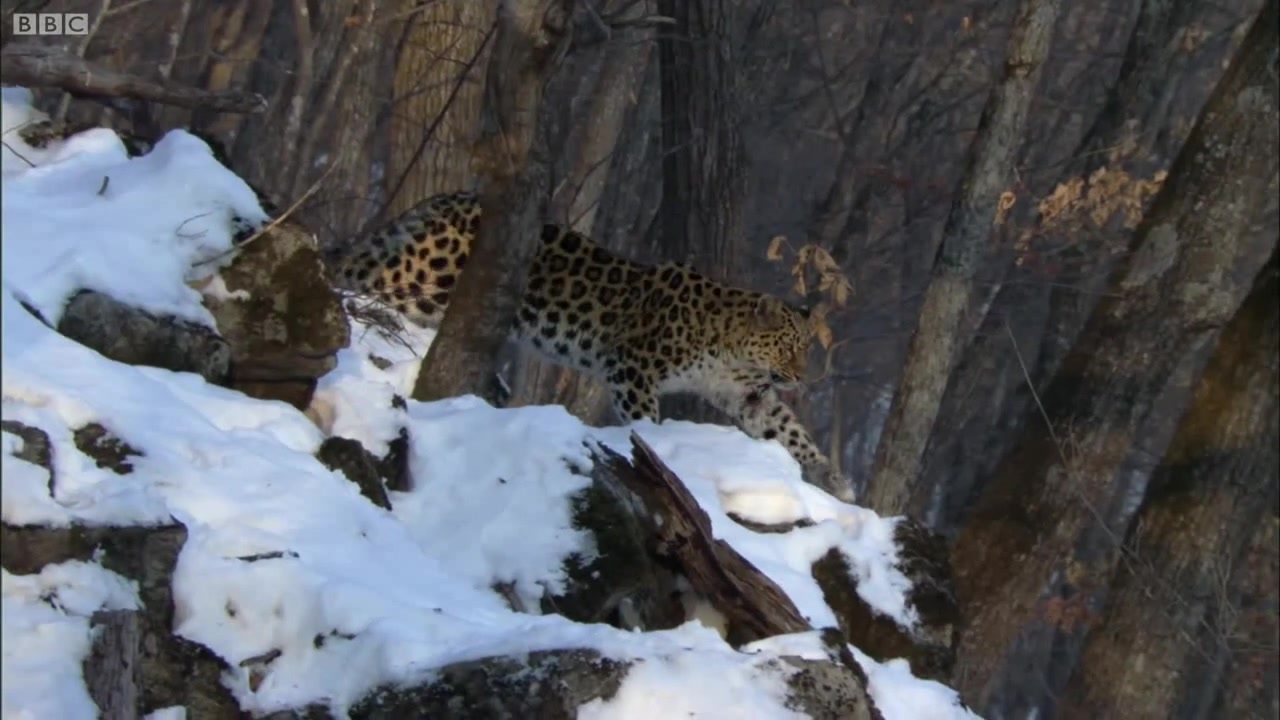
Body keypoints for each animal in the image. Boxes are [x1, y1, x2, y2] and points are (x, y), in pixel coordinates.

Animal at [324, 191, 853, 502]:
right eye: (788, 347)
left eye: (805, 347)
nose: (802, 376)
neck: (731, 344)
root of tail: (453, 196)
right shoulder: (634, 368)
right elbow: (643, 418)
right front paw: (654, 453)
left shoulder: (745, 392)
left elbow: (788, 429)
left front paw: (829, 476)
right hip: (427, 284)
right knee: (358, 274)